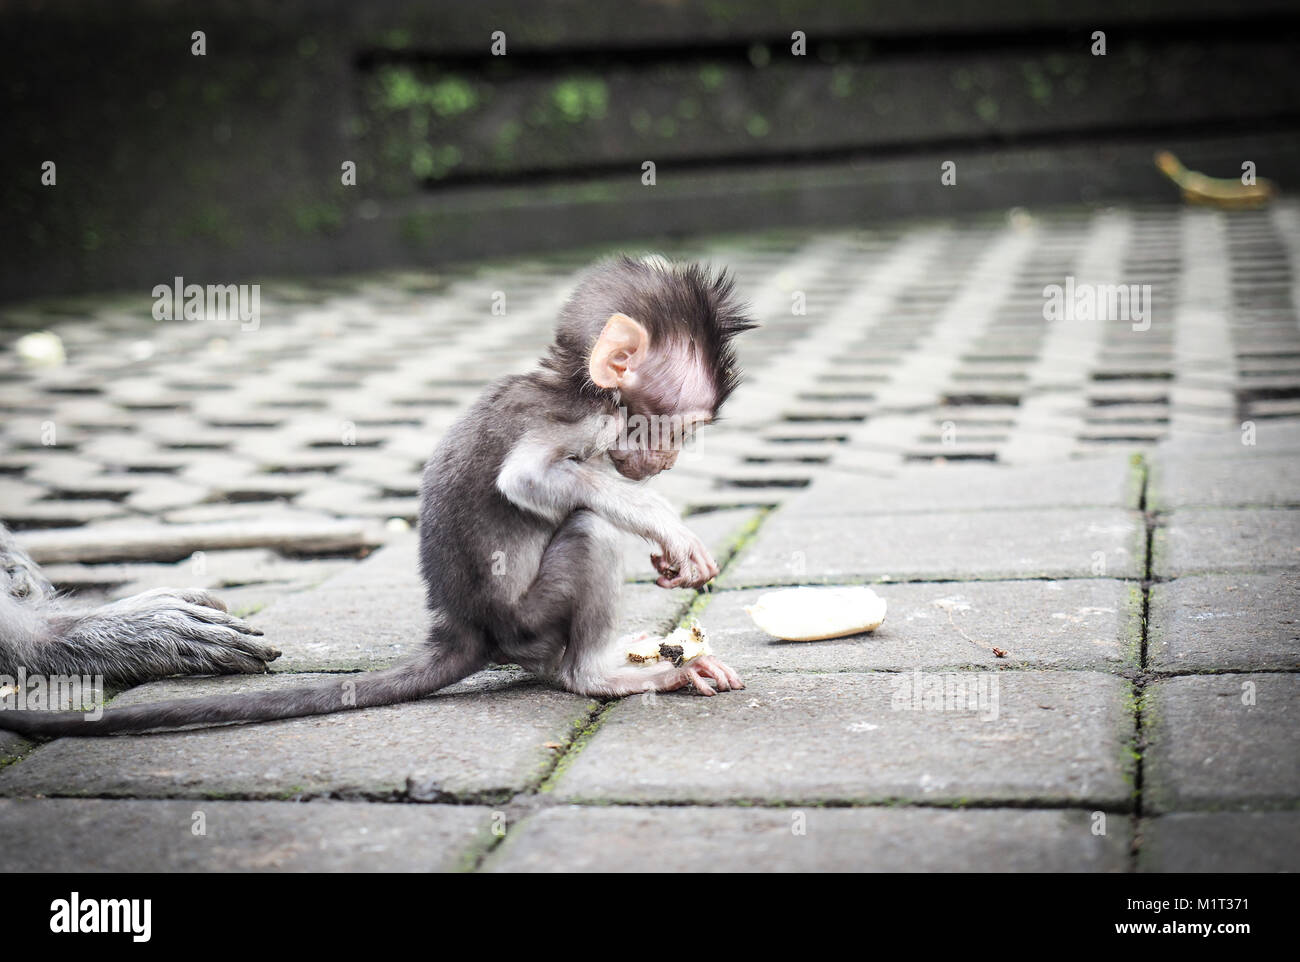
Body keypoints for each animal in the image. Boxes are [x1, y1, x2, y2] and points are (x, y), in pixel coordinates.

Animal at [0, 256, 754, 739]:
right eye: (678, 429)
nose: (666, 461)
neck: (575, 385)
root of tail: (468, 630)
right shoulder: (575, 421)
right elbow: (530, 480)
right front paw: (663, 524)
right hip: (528, 618)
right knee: (587, 531)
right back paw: (595, 673)